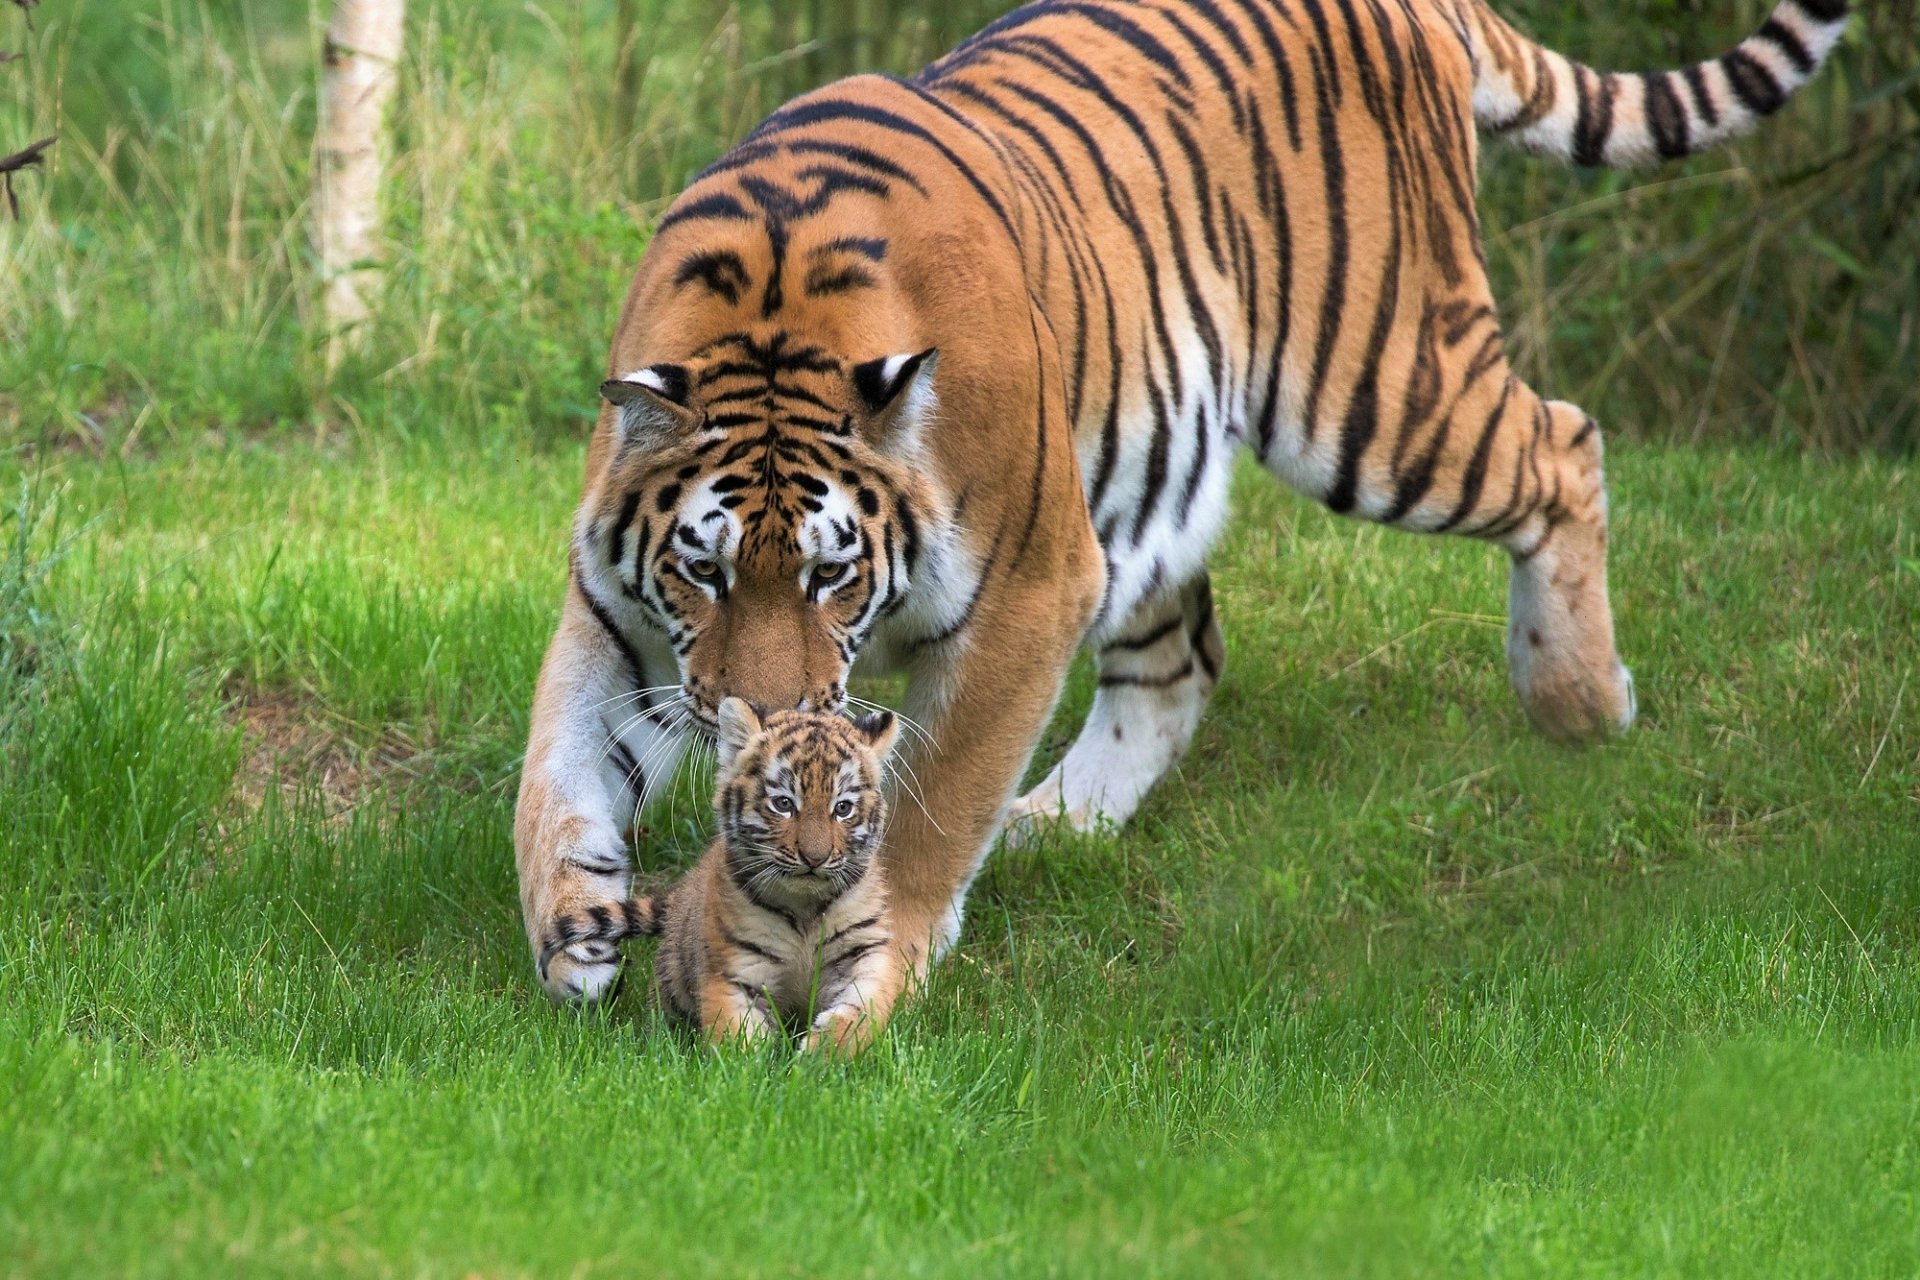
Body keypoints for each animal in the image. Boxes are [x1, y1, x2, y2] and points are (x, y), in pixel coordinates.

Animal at [515, 0, 1851, 1002]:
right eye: (703, 571)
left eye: (833, 575)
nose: (772, 721)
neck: (772, 310)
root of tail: (1411, 5)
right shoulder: (620, 616)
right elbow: (556, 776)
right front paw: (574, 933)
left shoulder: (1030, 588)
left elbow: (934, 805)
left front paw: (881, 947)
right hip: (1142, 495)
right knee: (1184, 653)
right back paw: (1060, 819)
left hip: (1376, 393)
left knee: (1564, 443)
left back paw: (1577, 701)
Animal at [537, 699, 906, 1054]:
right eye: (784, 804)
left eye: (842, 808)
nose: (815, 859)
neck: (804, 907)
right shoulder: (733, 969)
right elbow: (737, 1036)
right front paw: (752, 1069)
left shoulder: (864, 951)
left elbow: (860, 1014)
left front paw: (822, 1057)